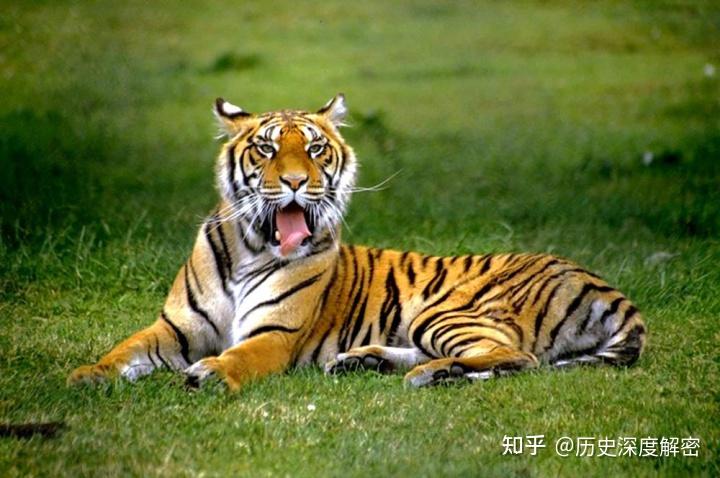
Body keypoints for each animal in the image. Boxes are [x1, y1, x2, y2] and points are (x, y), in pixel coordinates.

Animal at [68, 94, 646, 390]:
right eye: (267, 149)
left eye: (315, 148)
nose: (296, 181)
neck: (250, 247)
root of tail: (606, 286)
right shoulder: (174, 328)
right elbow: (125, 349)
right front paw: (86, 375)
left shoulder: (273, 334)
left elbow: (239, 356)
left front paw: (210, 372)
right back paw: (363, 362)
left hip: (445, 310)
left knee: (514, 357)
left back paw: (435, 374)